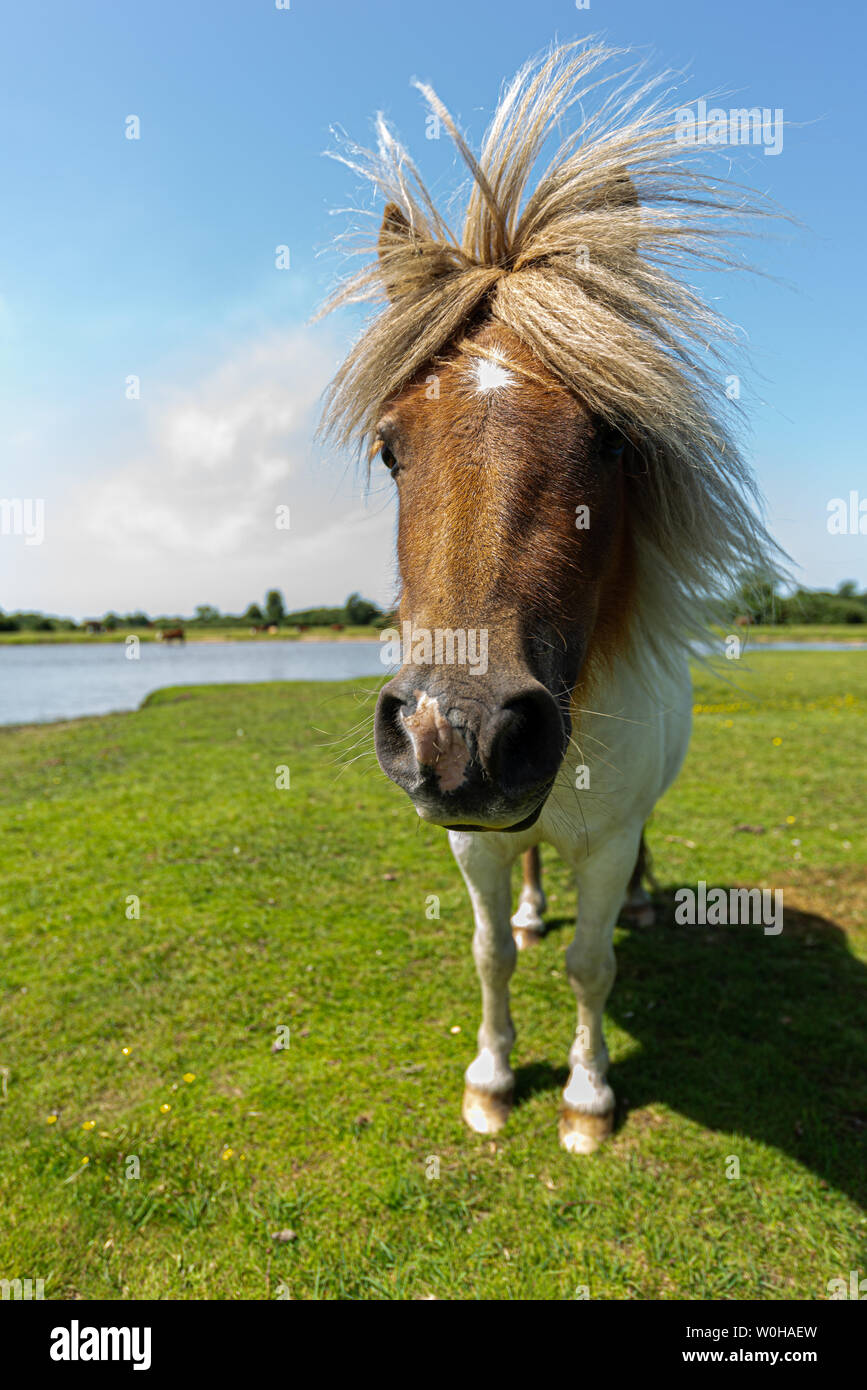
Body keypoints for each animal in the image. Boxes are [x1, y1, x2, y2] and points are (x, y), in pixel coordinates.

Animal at [319, 42, 782, 1153]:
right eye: (390, 450)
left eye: (611, 439)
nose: (462, 734)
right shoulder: (467, 839)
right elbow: (492, 954)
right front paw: (491, 1079)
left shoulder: (606, 843)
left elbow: (591, 964)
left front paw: (586, 1096)